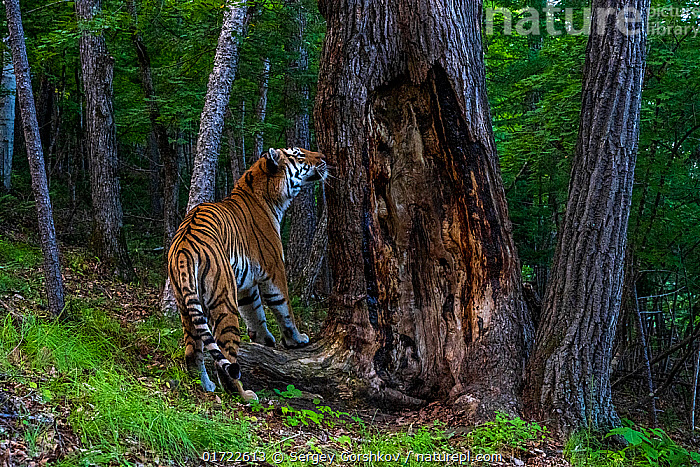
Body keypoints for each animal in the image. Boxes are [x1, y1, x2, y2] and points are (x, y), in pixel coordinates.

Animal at [167, 147, 327, 402]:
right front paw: (297, 339)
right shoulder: (274, 270)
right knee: (226, 358)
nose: (323, 157)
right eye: (299, 154)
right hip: (224, 301)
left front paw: (264, 339)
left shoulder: (246, 285)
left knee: (193, 350)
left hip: (185, 303)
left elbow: (255, 313)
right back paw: (243, 394)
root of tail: (184, 247)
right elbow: (284, 309)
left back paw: (206, 385)